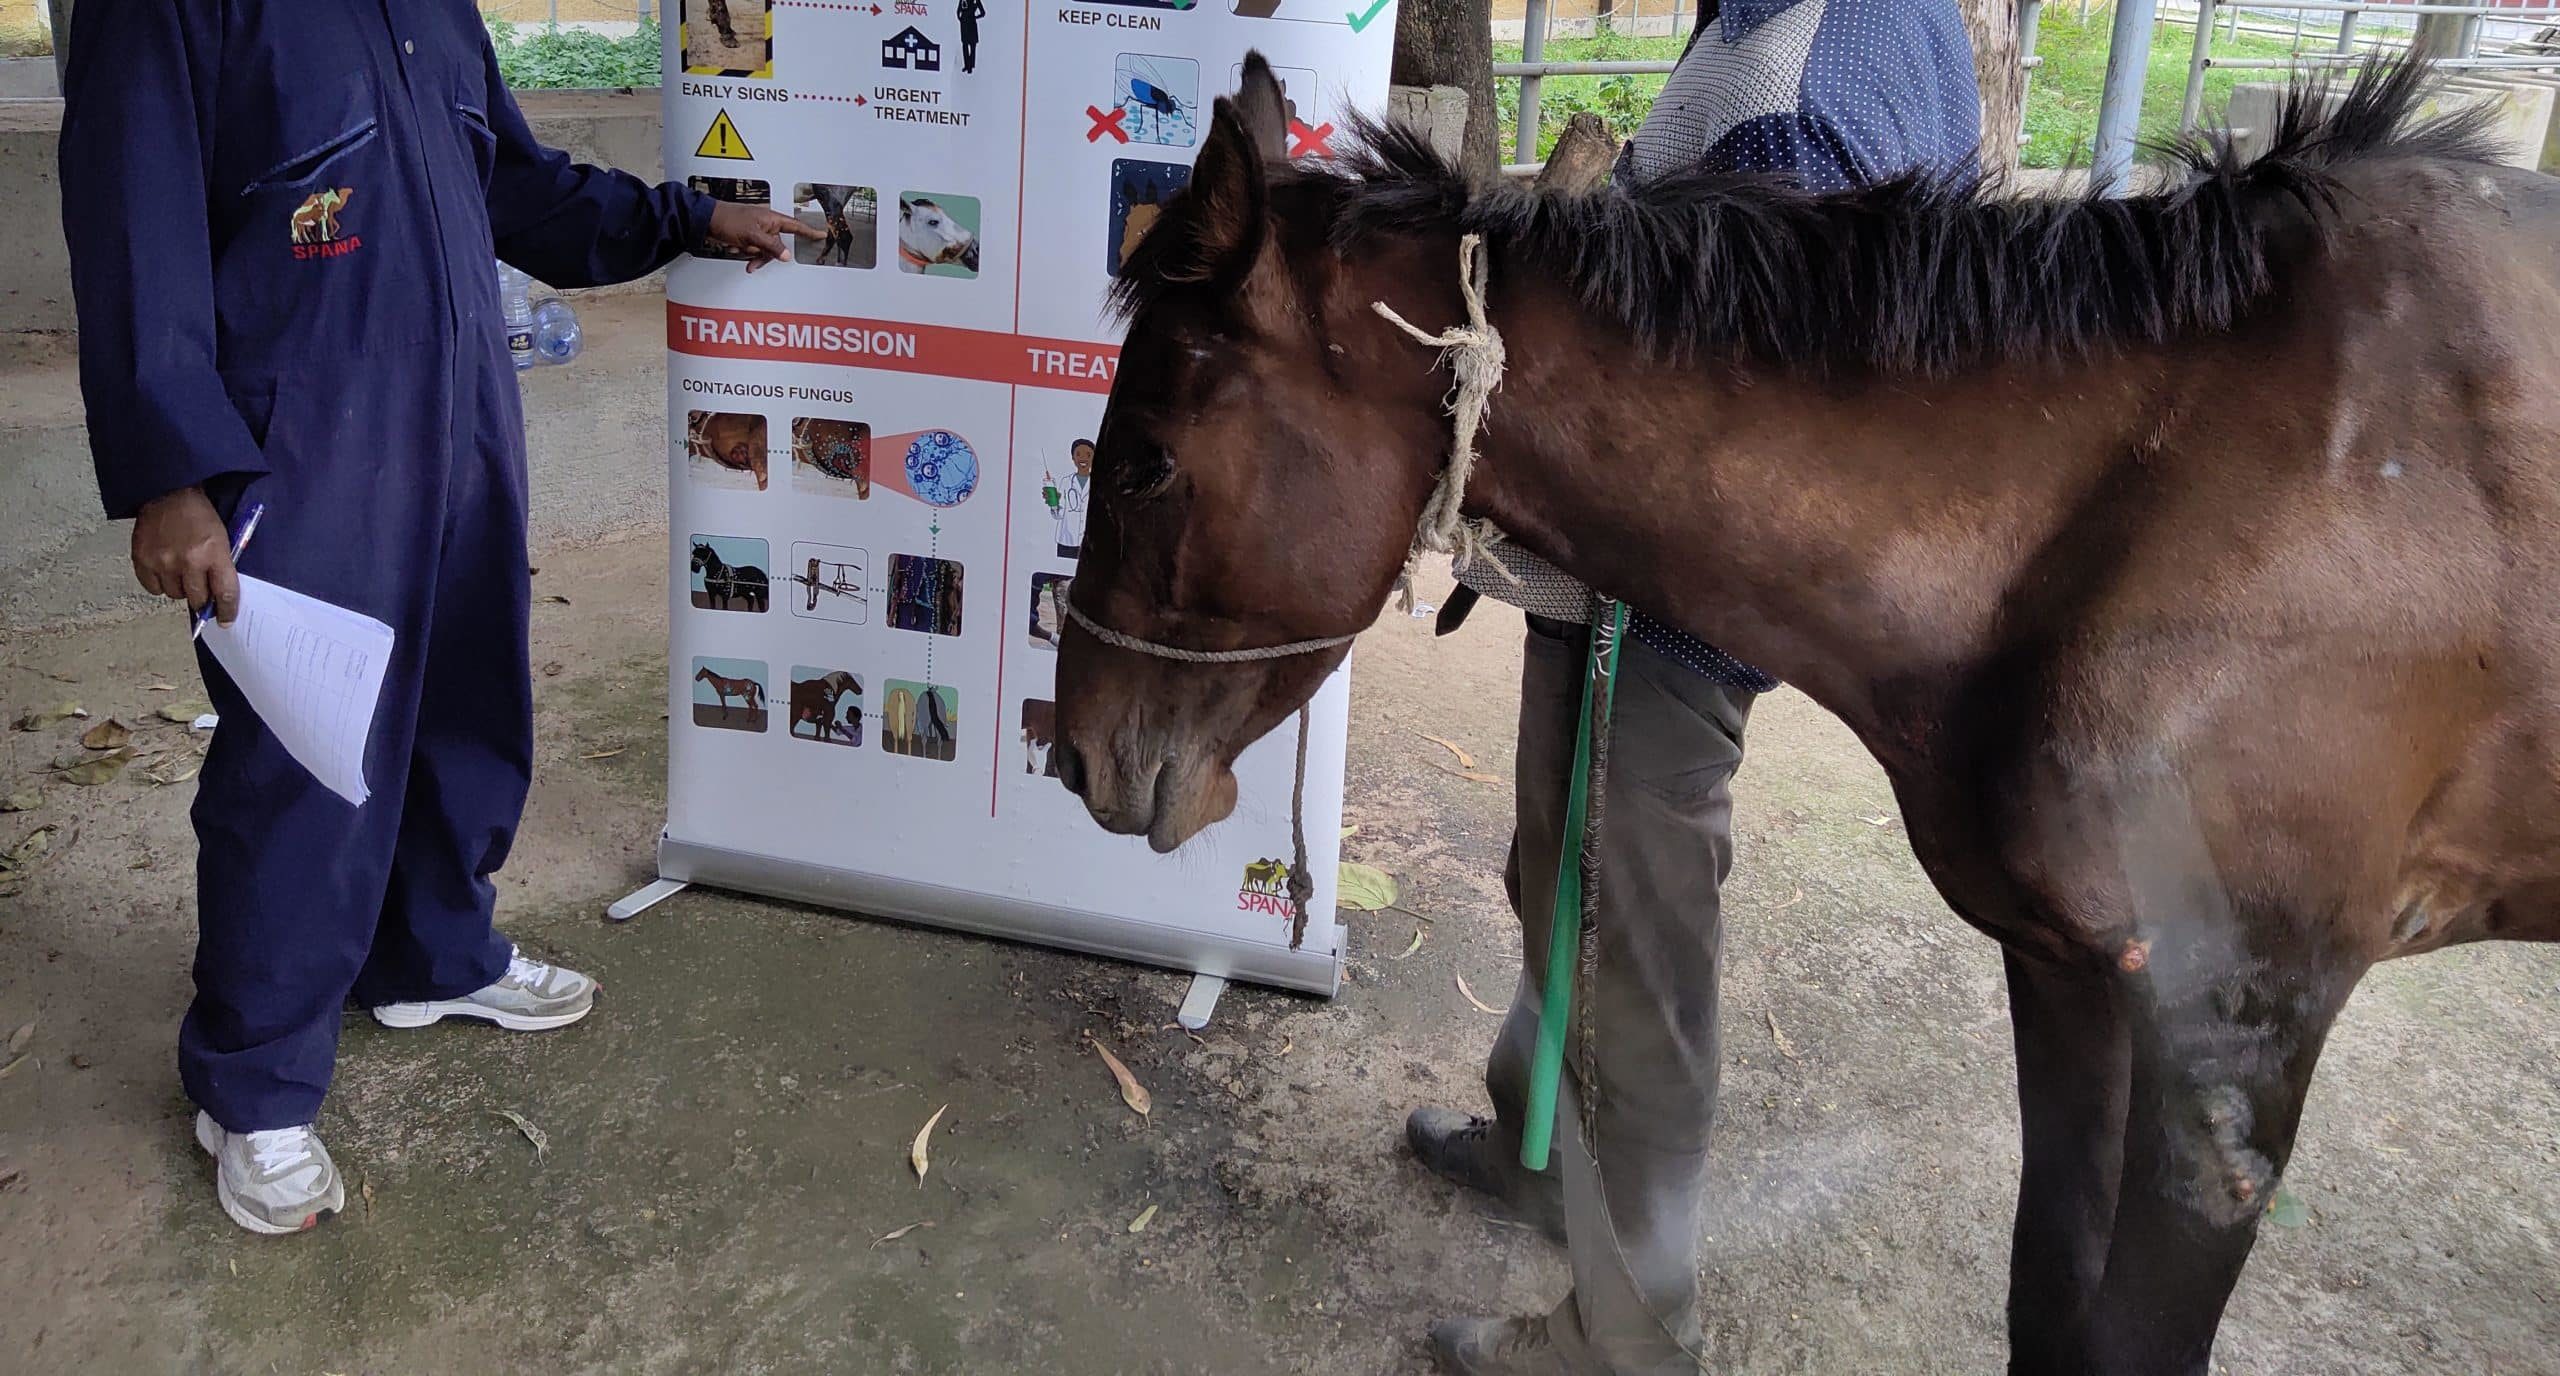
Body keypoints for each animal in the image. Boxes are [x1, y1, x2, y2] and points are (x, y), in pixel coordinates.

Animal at [1052, 57, 2560, 1372]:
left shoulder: (2226, 1069)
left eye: (1143, 465)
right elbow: (2044, 1307)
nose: (1066, 754)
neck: (2166, 496)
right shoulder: (2073, 981)